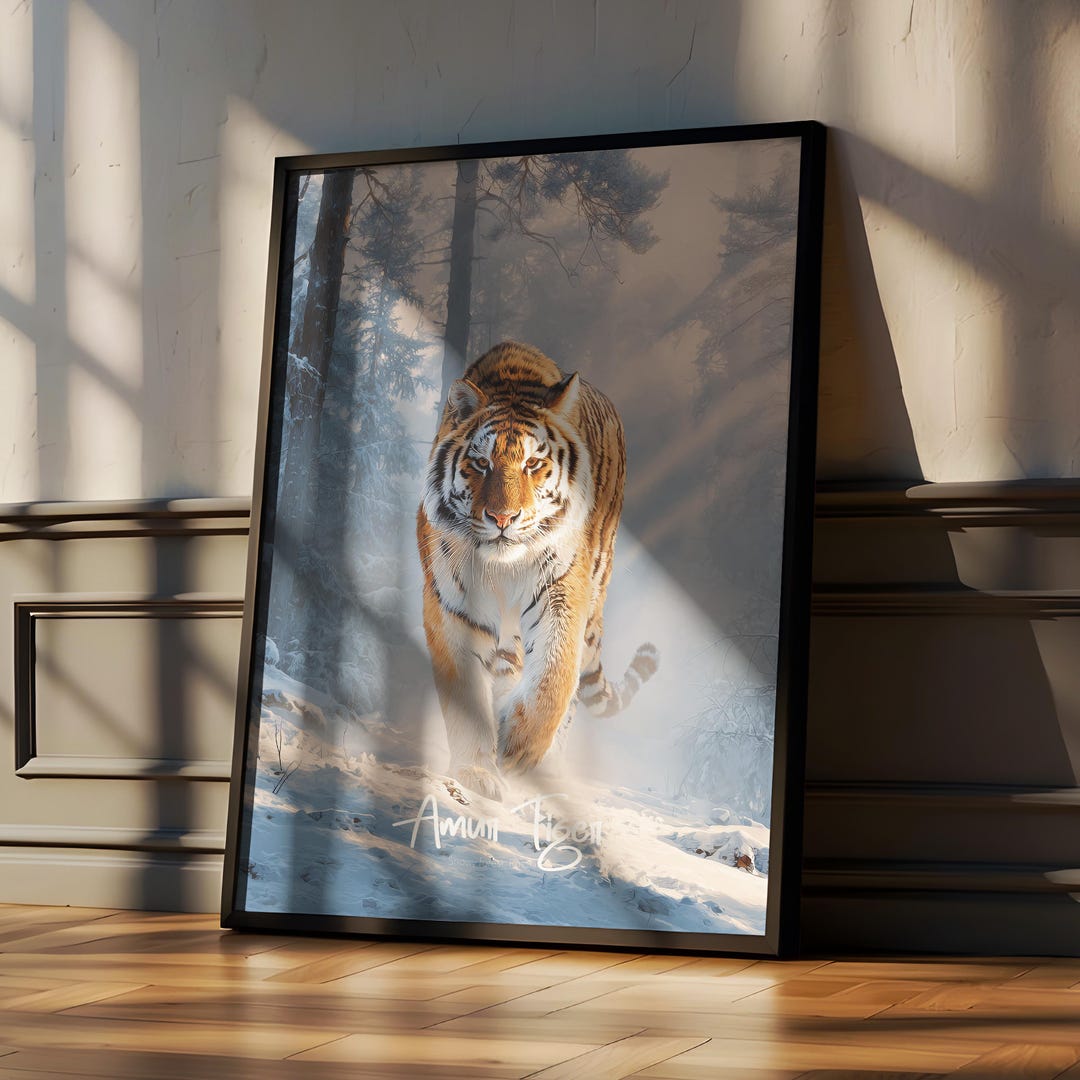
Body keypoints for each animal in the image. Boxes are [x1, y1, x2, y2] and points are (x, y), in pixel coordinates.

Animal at [417, 340, 659, 800]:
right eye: (481, 463)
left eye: (531, 464)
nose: (502, 518)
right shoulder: (451, 603)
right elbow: (465, 697)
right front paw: (476, 772)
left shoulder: (561, 589)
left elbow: (554, 674)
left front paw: (520, 745)